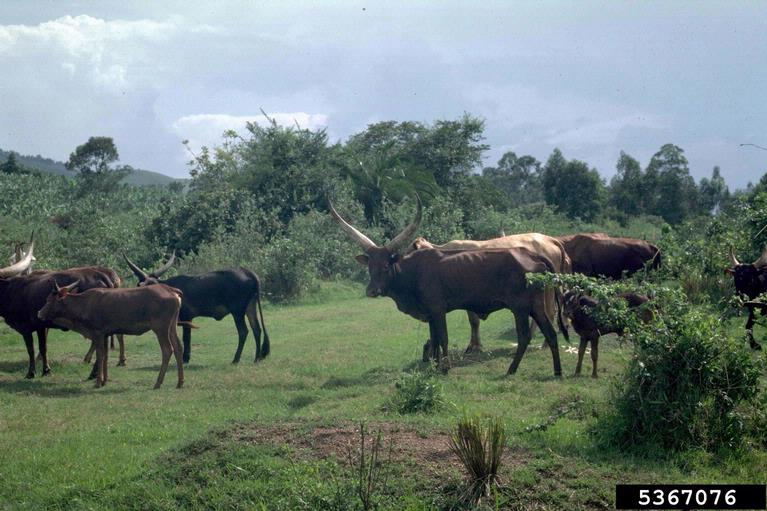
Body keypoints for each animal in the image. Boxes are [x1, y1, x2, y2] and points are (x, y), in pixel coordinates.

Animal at [37, 281, 185, 389]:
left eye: (49, 300)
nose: (39, 313)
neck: (83, 305)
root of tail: (172, 290)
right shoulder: (106, 334)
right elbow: (106, 356)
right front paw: (104, 380)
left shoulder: (97, 332)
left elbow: (100, 355)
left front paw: (98, 382)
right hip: (172, 325)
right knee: (178, 347)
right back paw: (180, 381)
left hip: (160, 327)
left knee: (167, 349)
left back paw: (158, 382)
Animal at [123, 254, 270, 364]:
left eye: (152, 285)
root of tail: (248, 272)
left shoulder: (186, 317)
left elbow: (186, 338)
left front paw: (185, 358)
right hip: (250, 307)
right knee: (257, 329)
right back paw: (257, 357)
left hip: (237, 311)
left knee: (244, 331)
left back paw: (236, 359)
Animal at [409, 234, 571, 353]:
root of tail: (549, 239)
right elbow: (473, 322)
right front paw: (474, 345)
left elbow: (474, 321)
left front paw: (475, 346)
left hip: (548, 289)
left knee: (549, 313)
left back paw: (543, 344)